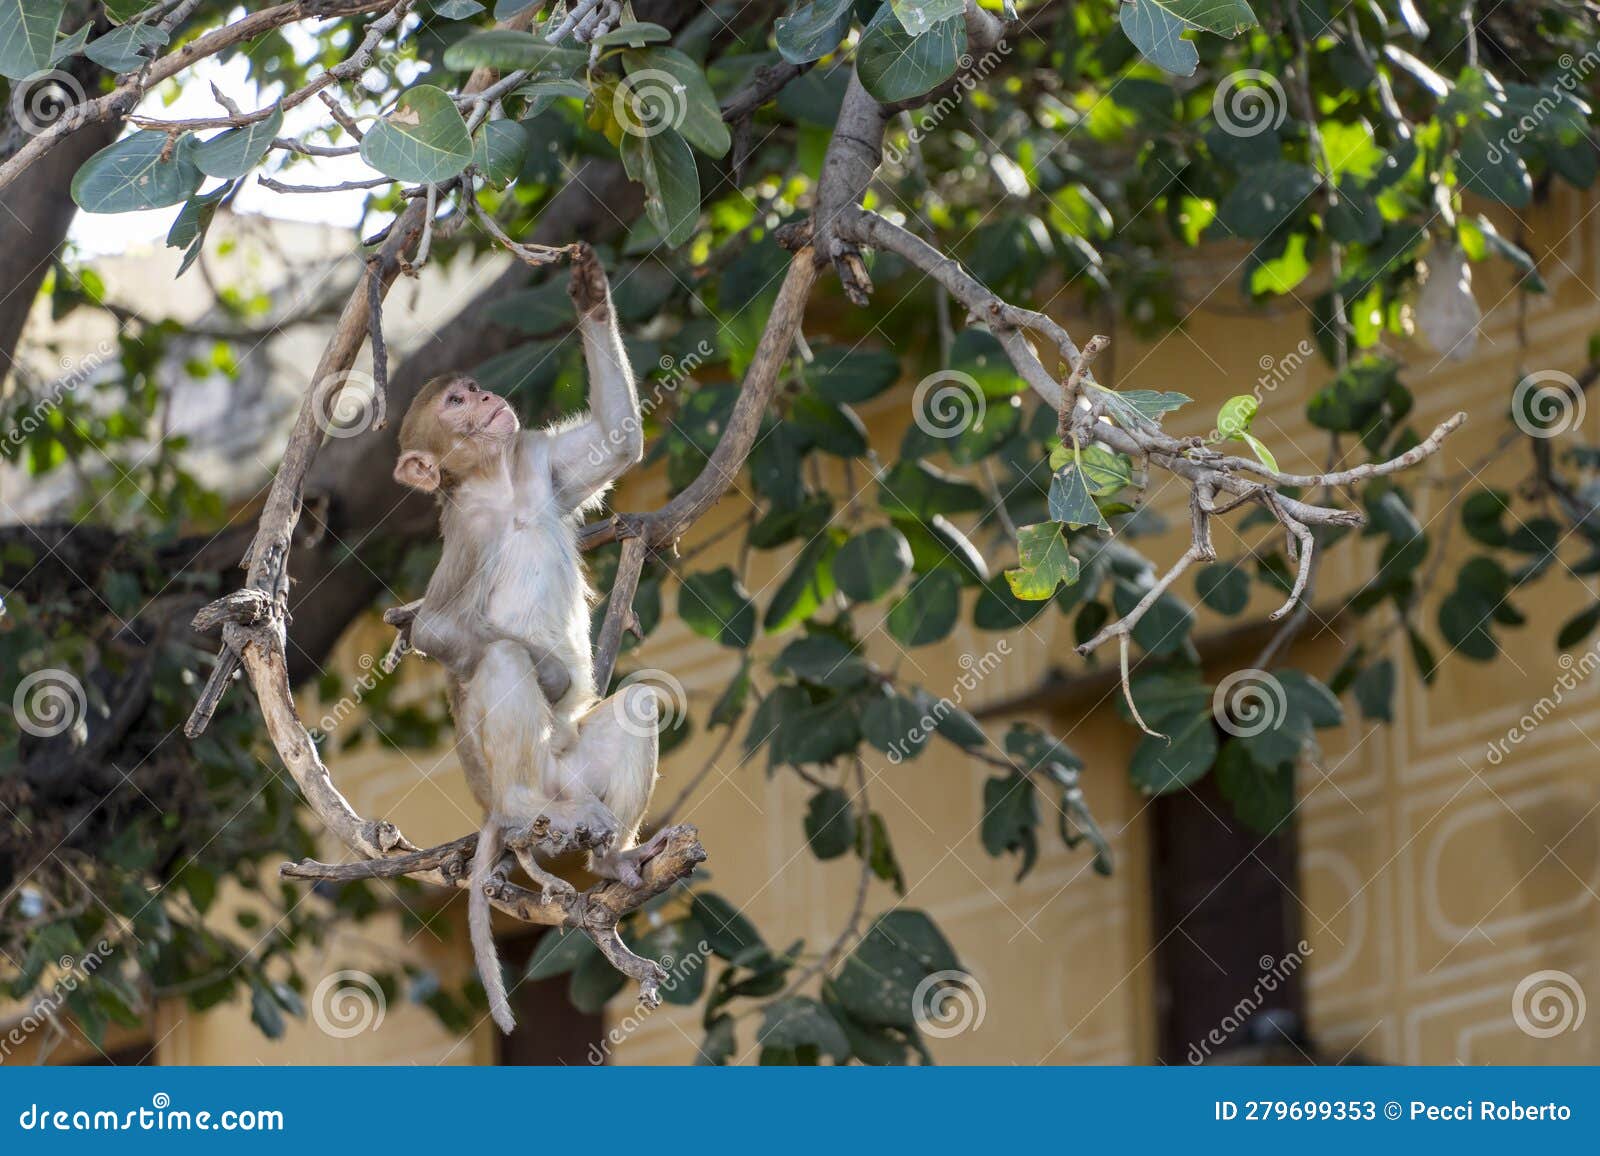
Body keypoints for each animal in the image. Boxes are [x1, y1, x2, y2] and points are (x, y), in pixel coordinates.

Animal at [390, 244, 670, 1033]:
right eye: (455, 405)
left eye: (473, 389)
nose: (486, 398)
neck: (501, 484)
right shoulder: (466, 537)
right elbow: (436, 630)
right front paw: (554, 676)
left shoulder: (539, 462)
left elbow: (617, 442)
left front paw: (590, 292)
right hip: (522, 779)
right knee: (502, 658)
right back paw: (519, 801)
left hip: (575, 776)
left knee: (636, 708)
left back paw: (612, 863)